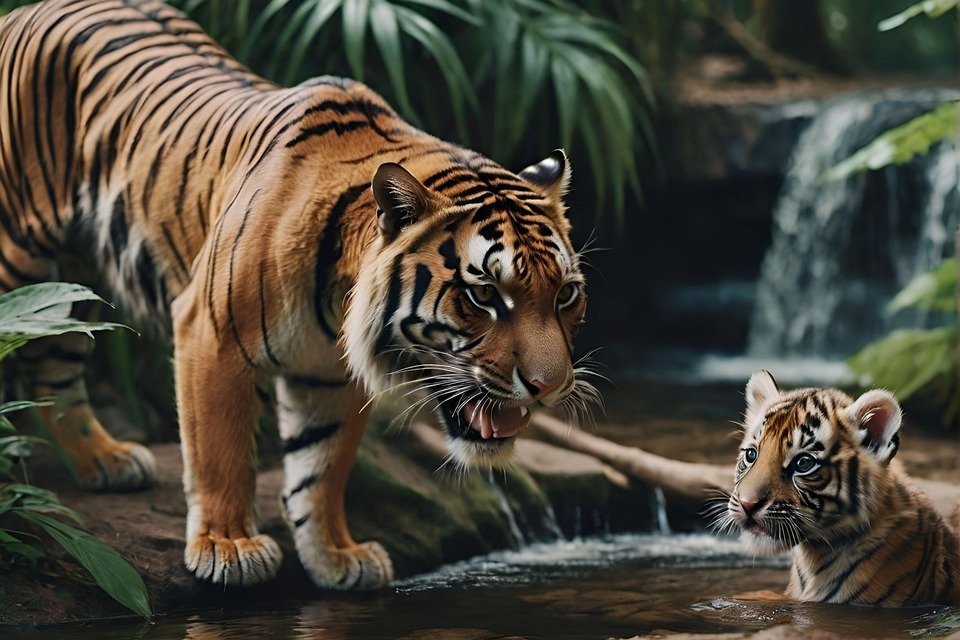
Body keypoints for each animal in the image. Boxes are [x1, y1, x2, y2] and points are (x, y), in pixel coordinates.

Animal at [0, 0, 594, 589]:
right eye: (485, 295)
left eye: (566, 295)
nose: (549, 388)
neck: (338, 295)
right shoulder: (211, 332)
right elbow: (221, 446)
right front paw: (229, 547)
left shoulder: (329, 370)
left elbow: (322, 466)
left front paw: (335, 555)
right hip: (22, 259)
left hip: (71, 289)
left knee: (52, 372)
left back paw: (105, 460)